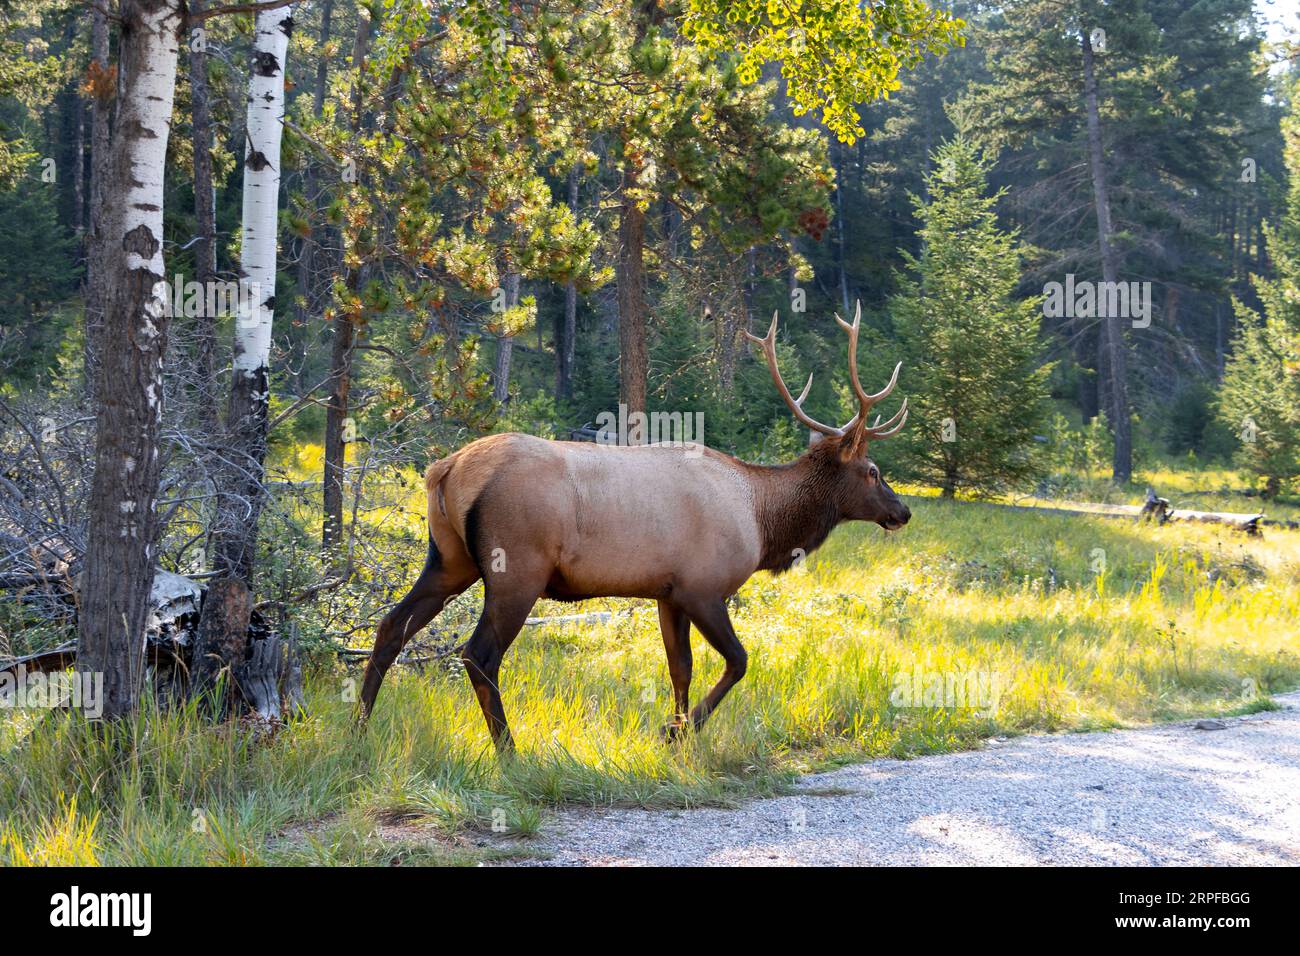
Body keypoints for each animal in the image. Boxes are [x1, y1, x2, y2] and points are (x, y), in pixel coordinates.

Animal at [358, 303, 911, 752]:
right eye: (873, 471)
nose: (902, 512)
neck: (762, 521)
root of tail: (445, 468)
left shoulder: (668, 592)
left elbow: (680, 668)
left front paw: (674, 731)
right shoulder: (704, 586)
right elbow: (738, 661)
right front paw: (679, 731)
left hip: (449, 559)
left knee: (389, 627)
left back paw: (357, 731)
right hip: (516, 569)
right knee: (477, 654)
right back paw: (508, 751)